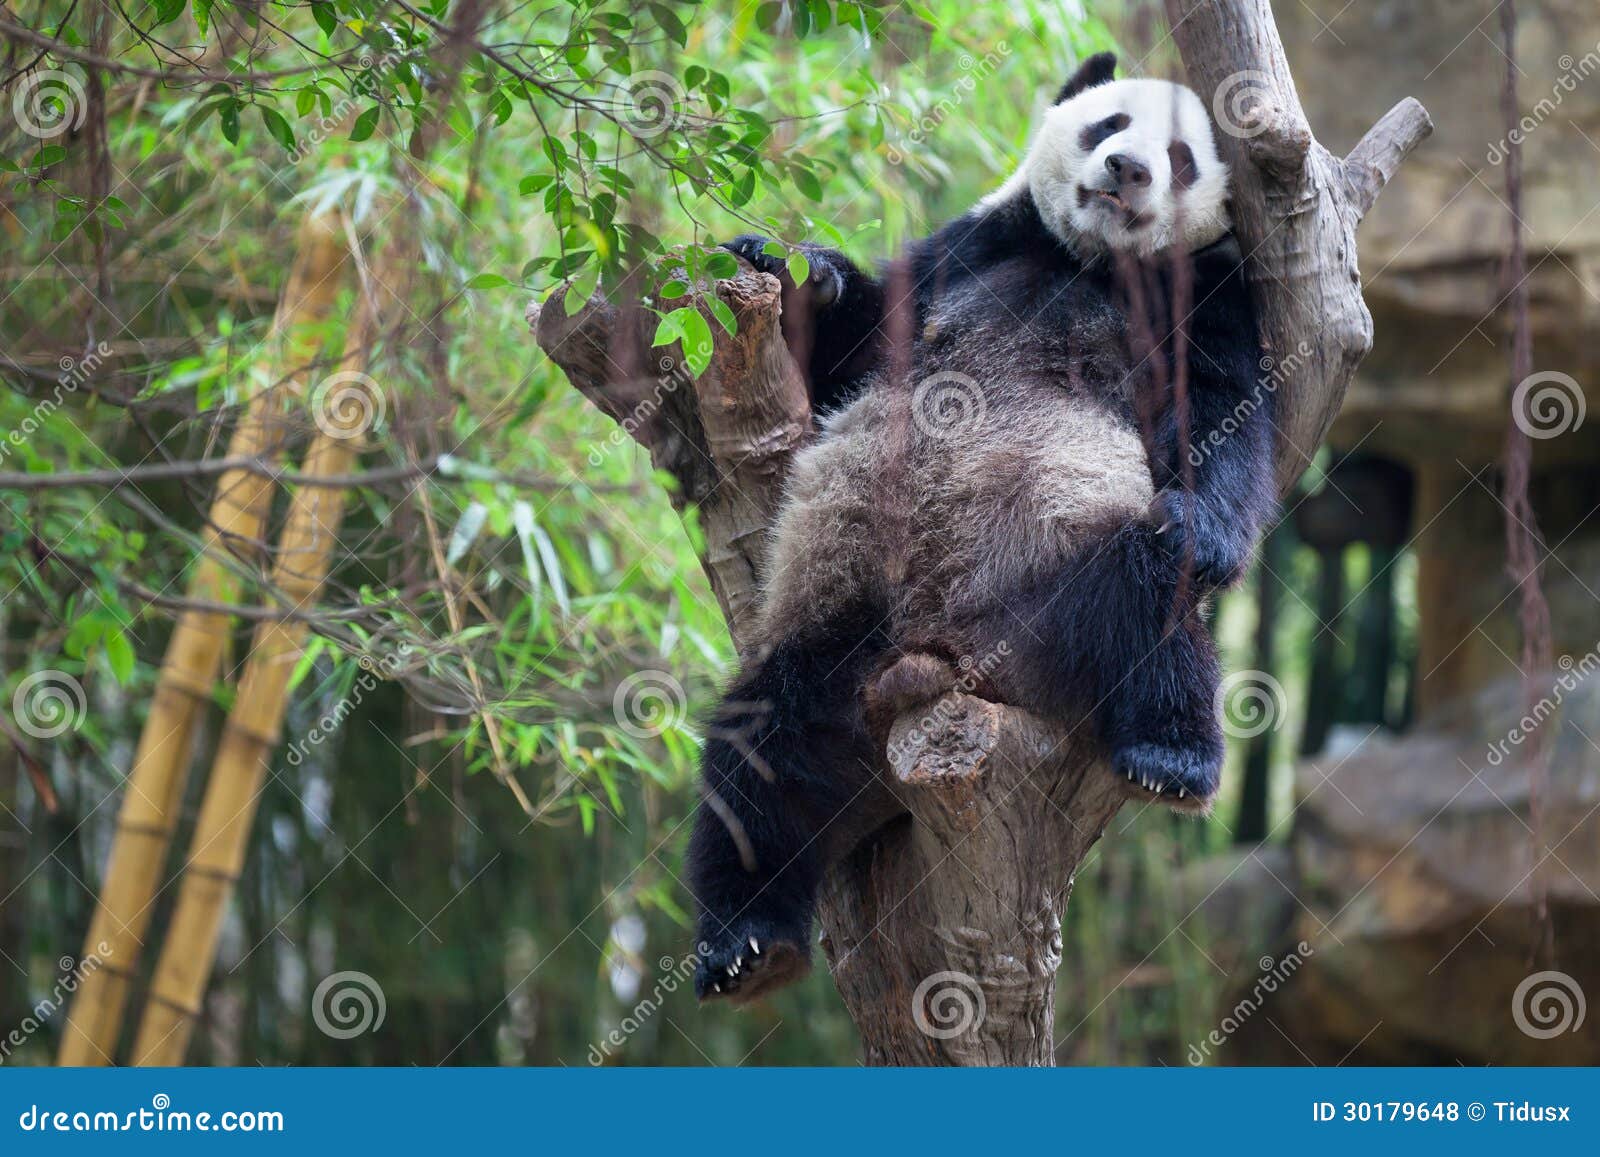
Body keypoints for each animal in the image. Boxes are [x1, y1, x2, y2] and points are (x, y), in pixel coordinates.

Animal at [687, 53, 1276, 1004]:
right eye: (1110, 124)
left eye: (1183, 157)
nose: (1127, 171)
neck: (1089, 263)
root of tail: (937, 662)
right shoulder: (971, 247)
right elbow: (858, 349)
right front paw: (786, 263)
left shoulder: (1211, 290)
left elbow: (1223, 411)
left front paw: (1205, 529)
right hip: (839, 638)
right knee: (755, 760)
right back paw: (745, 943)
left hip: (1052, 592)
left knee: (1145, 600)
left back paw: (1172, 754)